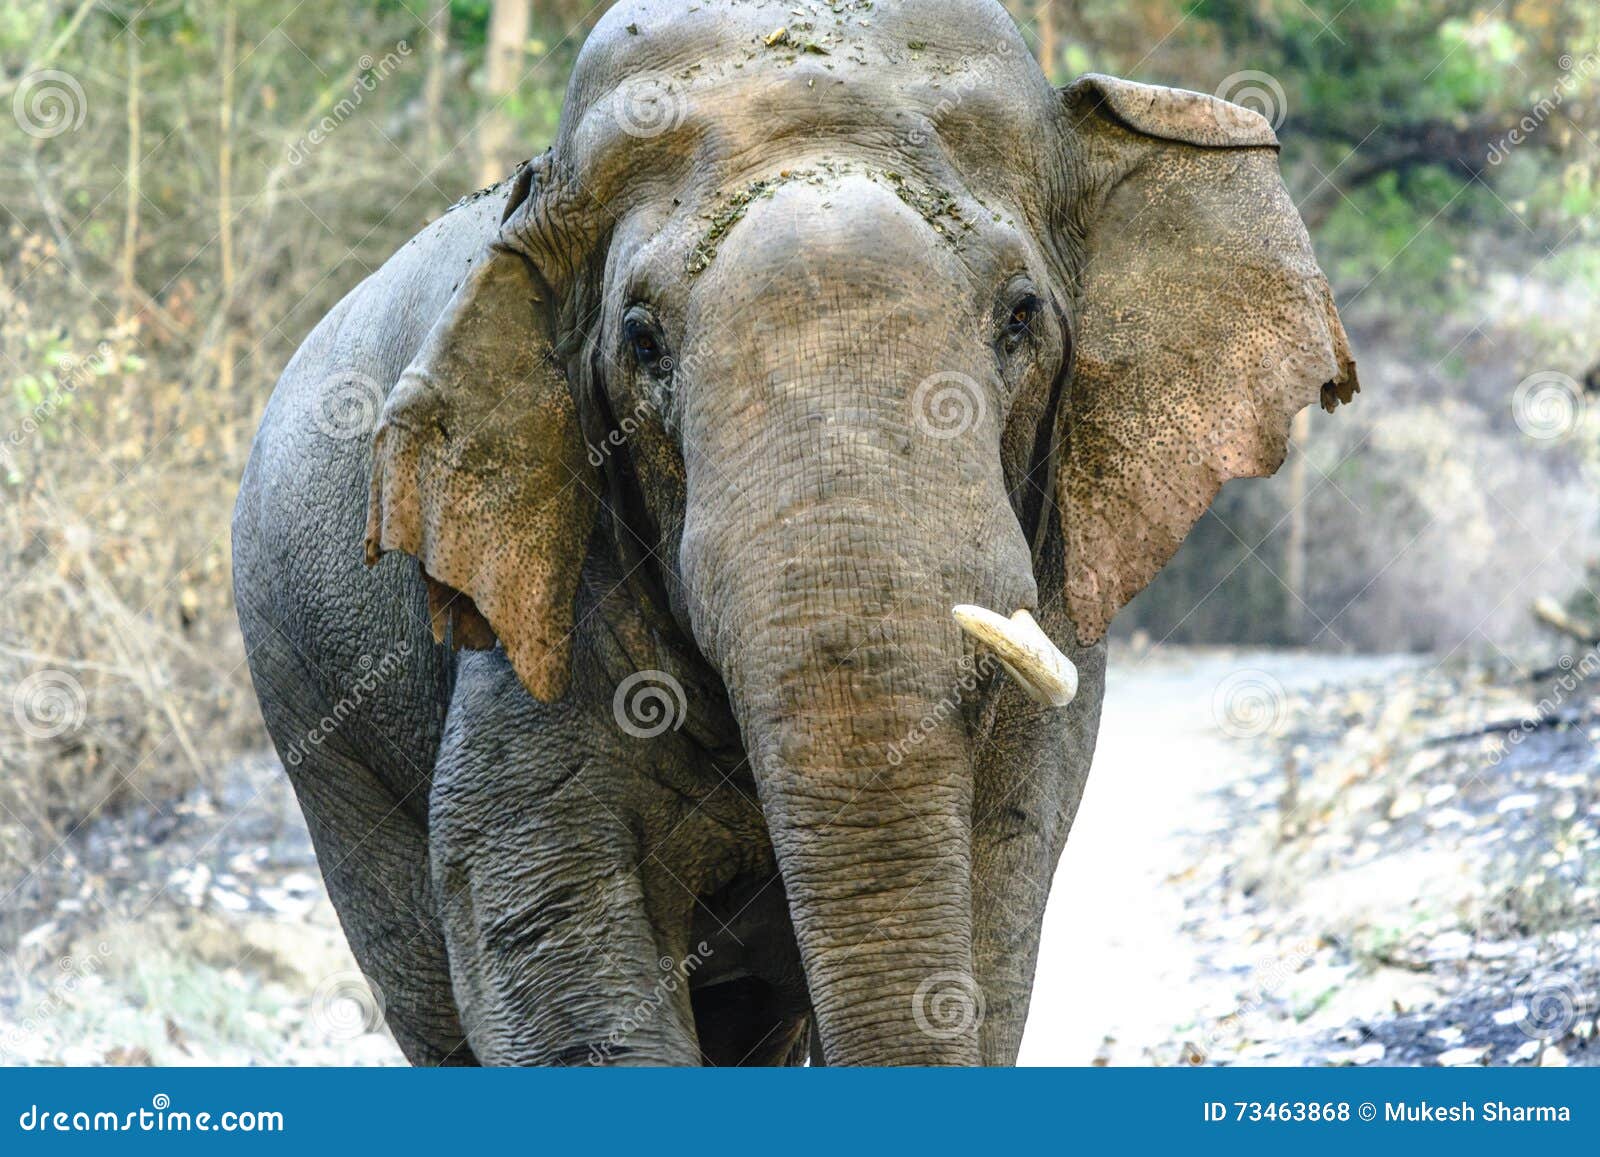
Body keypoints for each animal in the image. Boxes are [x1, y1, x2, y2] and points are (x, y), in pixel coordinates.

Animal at [232, 0, 1357, 1067]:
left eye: (1020, 316)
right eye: (641, 340)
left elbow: (996, 900)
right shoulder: (537, 602)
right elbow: (546, 929)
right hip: (313, 716)